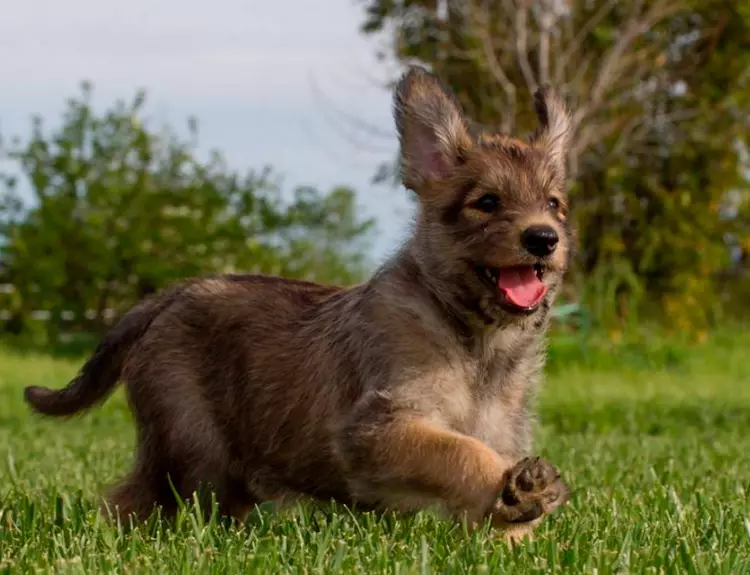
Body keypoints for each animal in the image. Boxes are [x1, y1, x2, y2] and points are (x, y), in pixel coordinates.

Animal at [23, 67, 576, 540]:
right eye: (487, 203)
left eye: (555, 206)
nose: (544, 239)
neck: (476, 339)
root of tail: (176, 292)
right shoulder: (378, 428)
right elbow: (460, 452)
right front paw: (517, 491)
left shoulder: (499, 430)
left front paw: (517, 523)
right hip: (187, 450)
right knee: (131, 502)